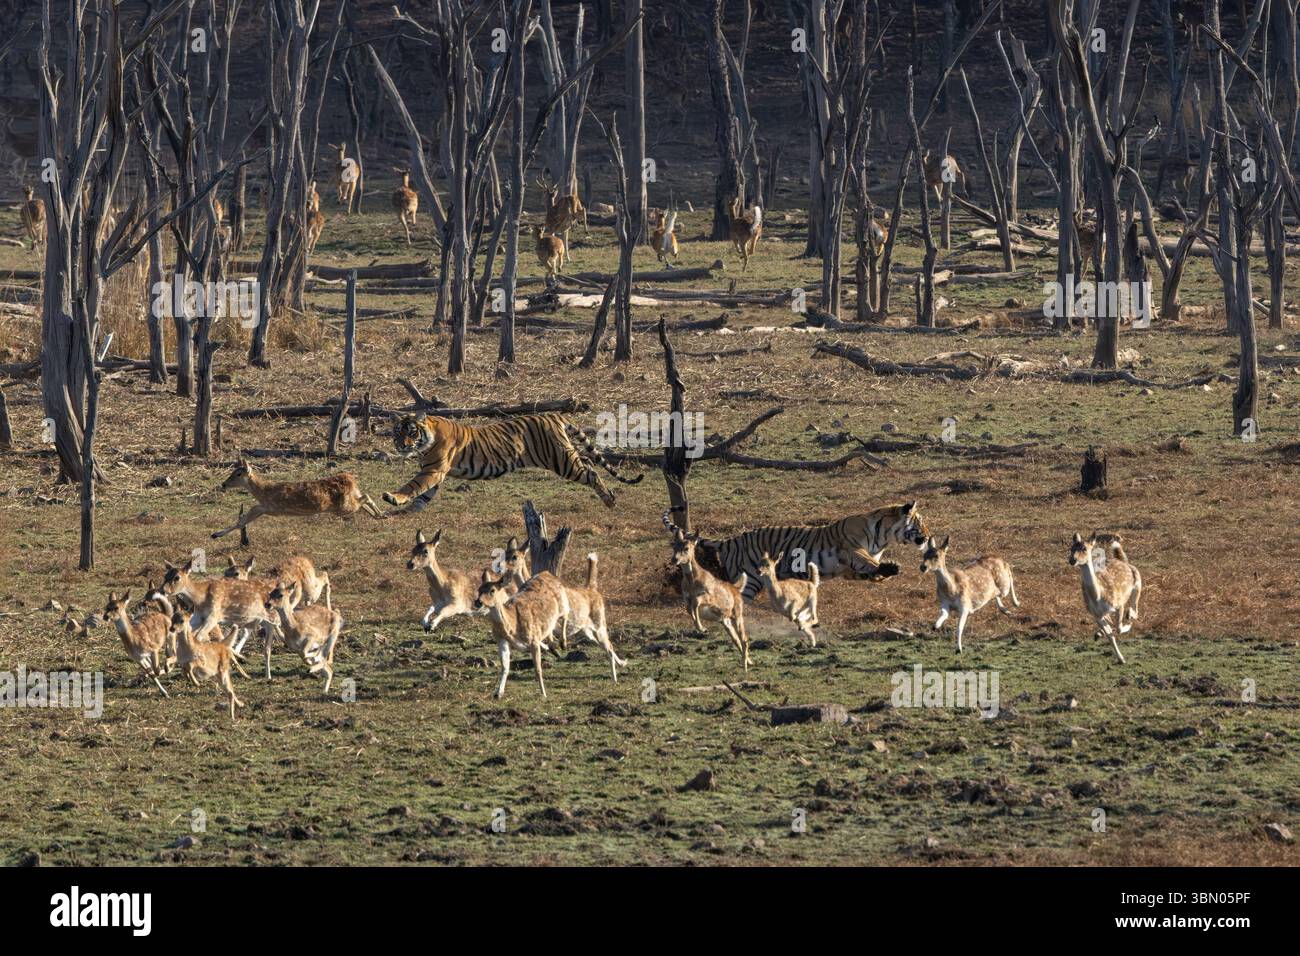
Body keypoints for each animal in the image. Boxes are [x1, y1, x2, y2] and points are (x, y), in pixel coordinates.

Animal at [382, 412, 643, 511]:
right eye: (397, 432)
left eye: (411, 432)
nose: (401, 445)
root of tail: (554, 414)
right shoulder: (433, 472)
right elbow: (423, 494)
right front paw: (408, 512)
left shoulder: (433, 470)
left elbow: (413, 486)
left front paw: (394, 498)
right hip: (565, 456)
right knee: (589, 464)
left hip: (561, 460)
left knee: (591, 472)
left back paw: (610, 500)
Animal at [664, 502, 929, 599]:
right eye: (920, 522)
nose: (927, 536)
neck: (884, 536)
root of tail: (730, 540)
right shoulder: (851, 549)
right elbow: (870, 563)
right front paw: (892, 567)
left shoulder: (851, 568)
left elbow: (873, 572)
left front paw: (887, 571)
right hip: (750, 578)